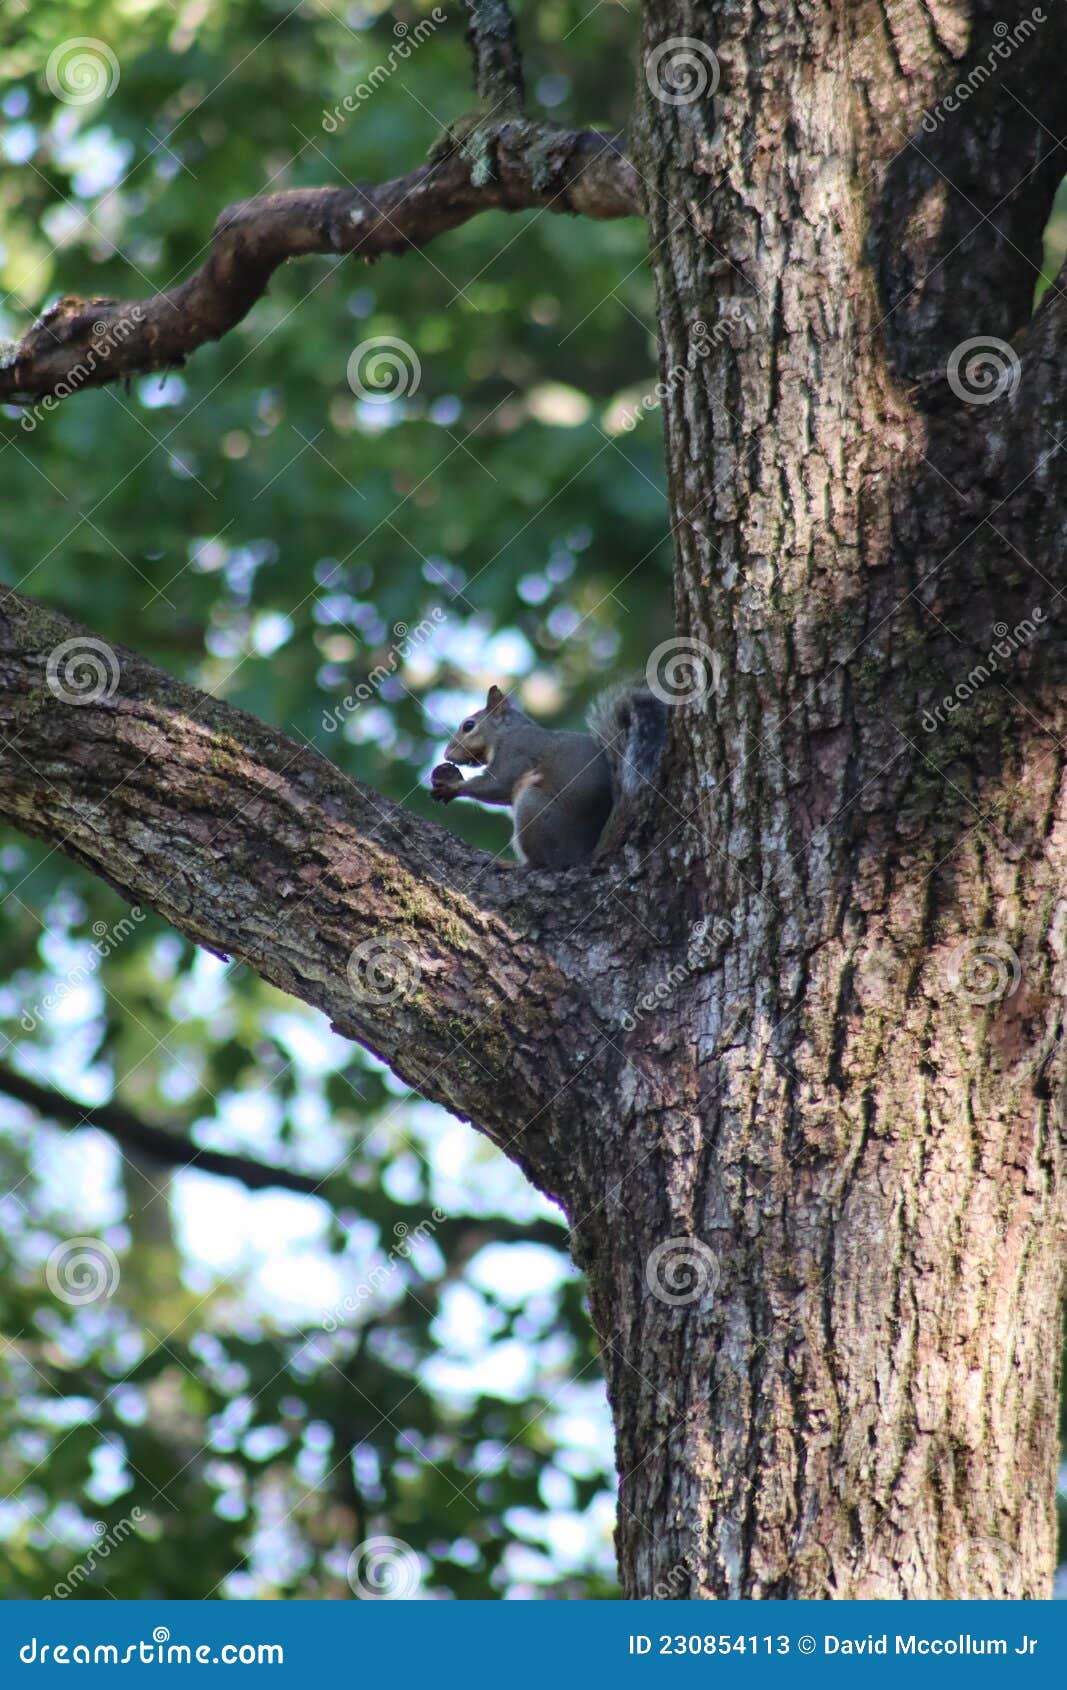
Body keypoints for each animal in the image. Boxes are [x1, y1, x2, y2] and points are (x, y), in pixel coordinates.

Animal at [429, 681, 667, 868]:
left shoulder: (516, 753)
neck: (506, 733)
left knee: (542, 863)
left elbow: (498, 785)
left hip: (533, 808)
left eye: (468, 726)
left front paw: (453, 786)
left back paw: (509, 864)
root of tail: (579, 855)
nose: (447, 754)